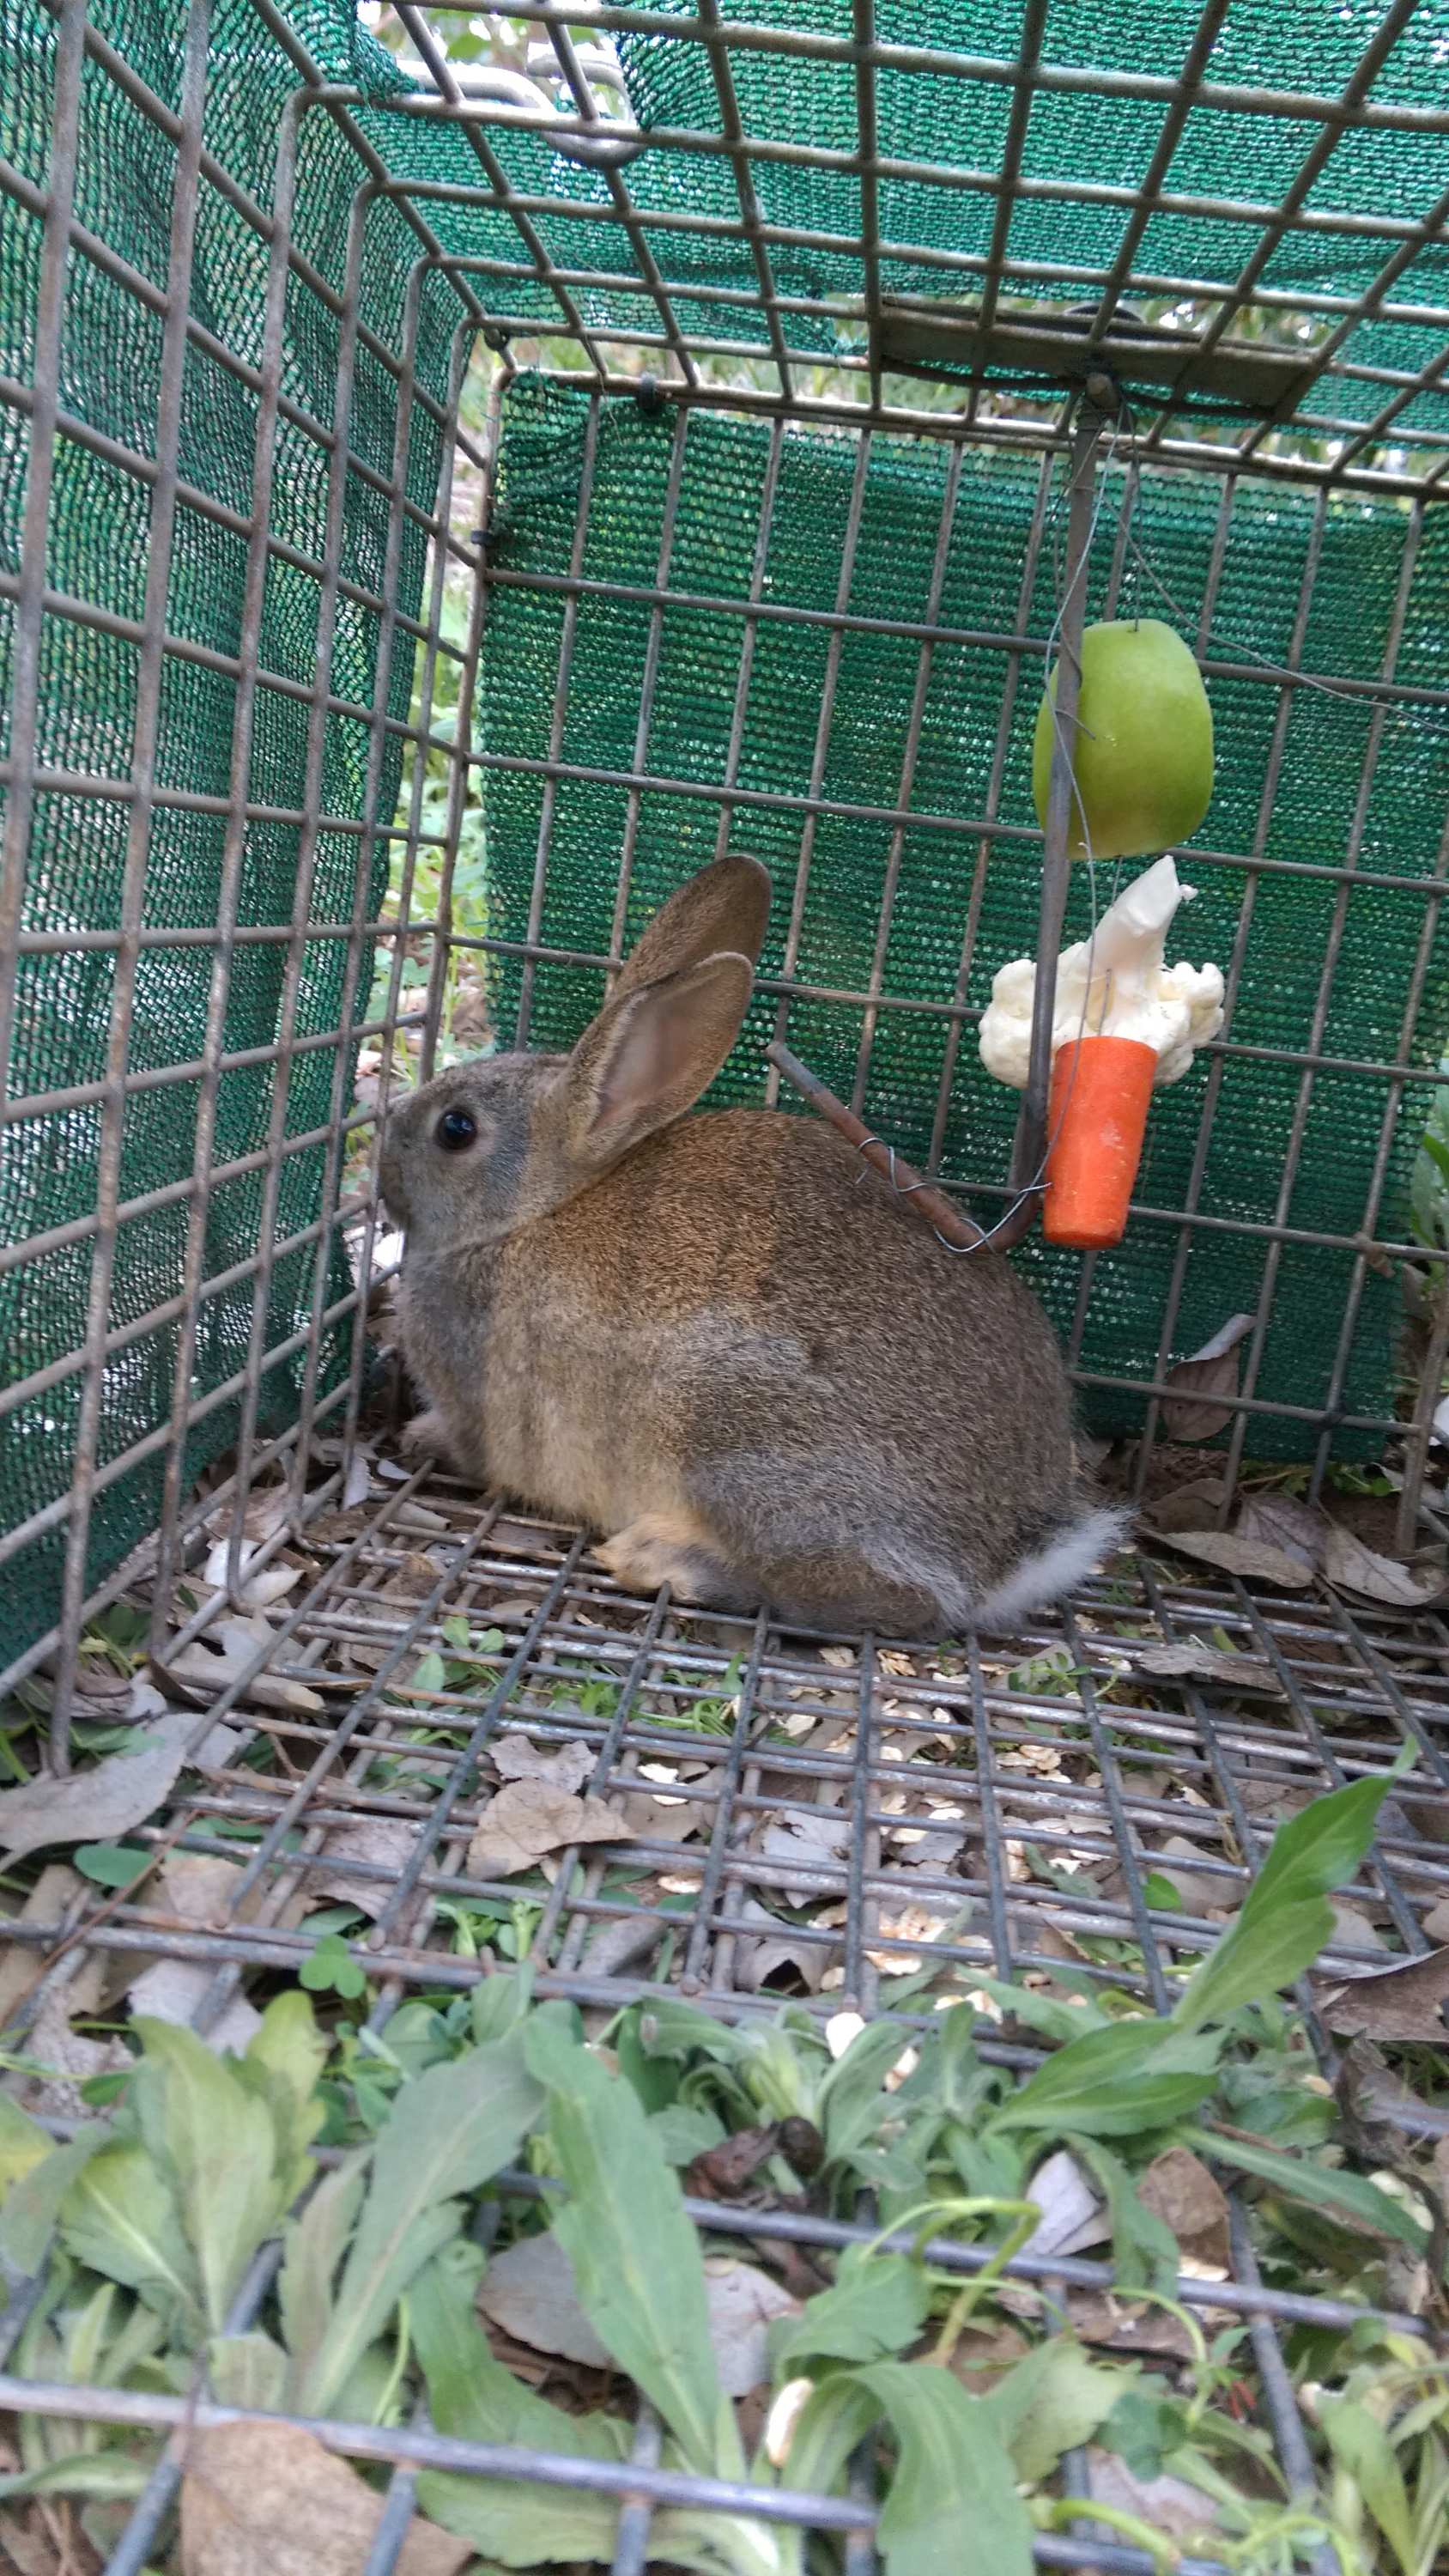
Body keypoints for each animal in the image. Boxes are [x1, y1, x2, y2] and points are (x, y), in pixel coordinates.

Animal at [377, 853, 1125, 1637]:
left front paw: (421, 1437)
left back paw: (667, 1562)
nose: (385, 1160)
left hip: (724, 1437)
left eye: (455, 1130)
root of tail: (1016, 1556)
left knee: (895, 1598)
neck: (528, 1212)